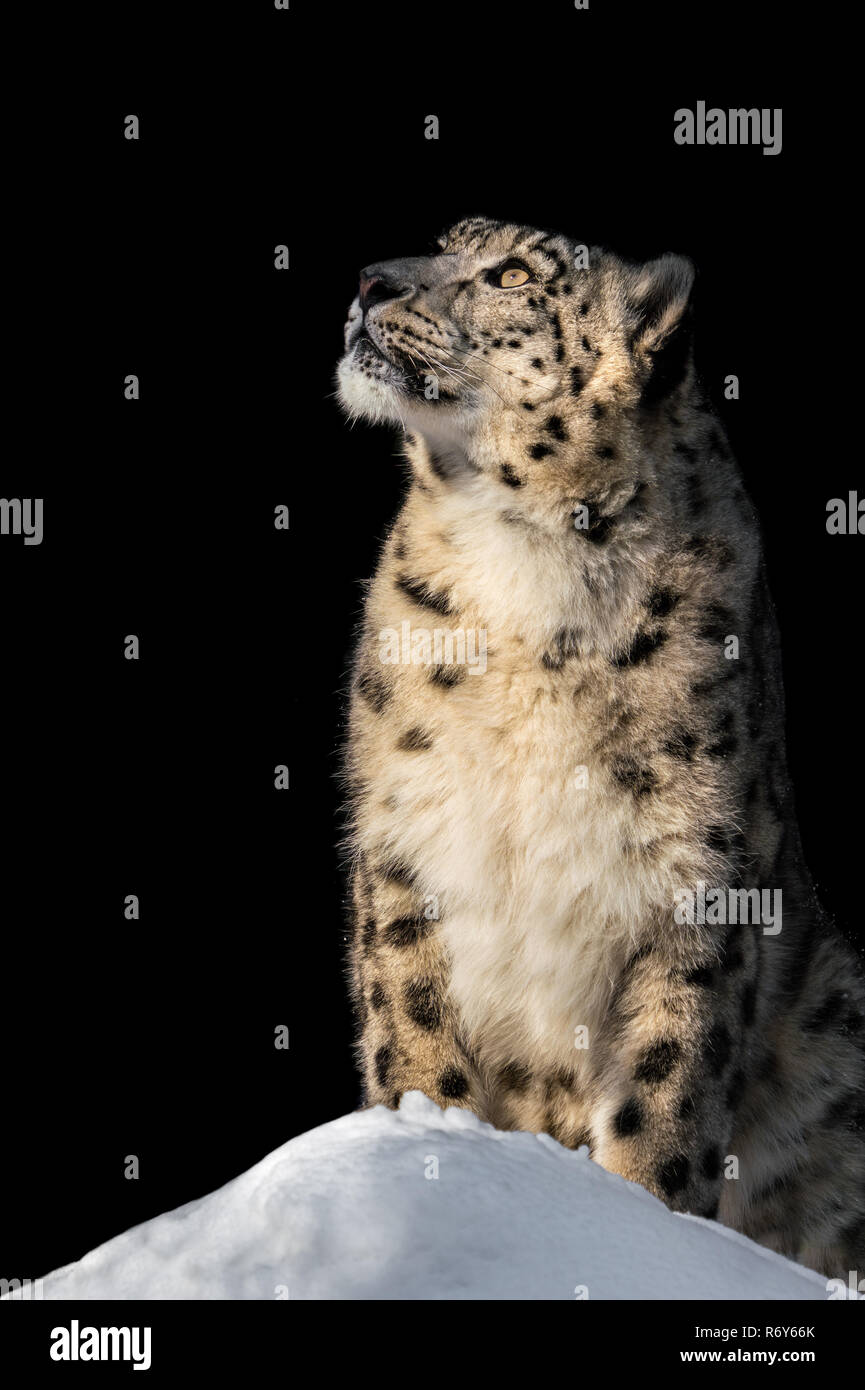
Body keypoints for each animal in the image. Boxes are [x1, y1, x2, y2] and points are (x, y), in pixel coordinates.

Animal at [336, 215, 865, 1282]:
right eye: (445, 241)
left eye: (509, 275)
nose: (371, 281)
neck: (522, 565)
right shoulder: (402, 834)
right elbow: (412, 1020)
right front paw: (427, 1139)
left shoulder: (697, 872)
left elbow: (667, 1079)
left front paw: (643, 1222)